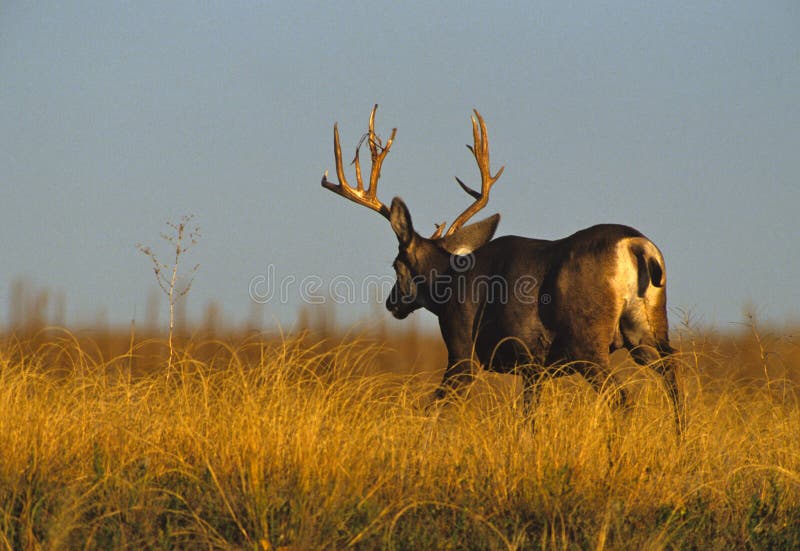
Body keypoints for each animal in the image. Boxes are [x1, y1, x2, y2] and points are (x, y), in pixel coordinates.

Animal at [320, 105, 683, 436]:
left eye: (397, 265)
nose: (391, 303)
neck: (450, 282)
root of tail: (636, 246)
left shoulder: (463, 348)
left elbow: (432, 408)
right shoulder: (534, 367)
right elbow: (530, 421)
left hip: (588, 342)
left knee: (621, 398)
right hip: (649, 332)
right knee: (673, 381)